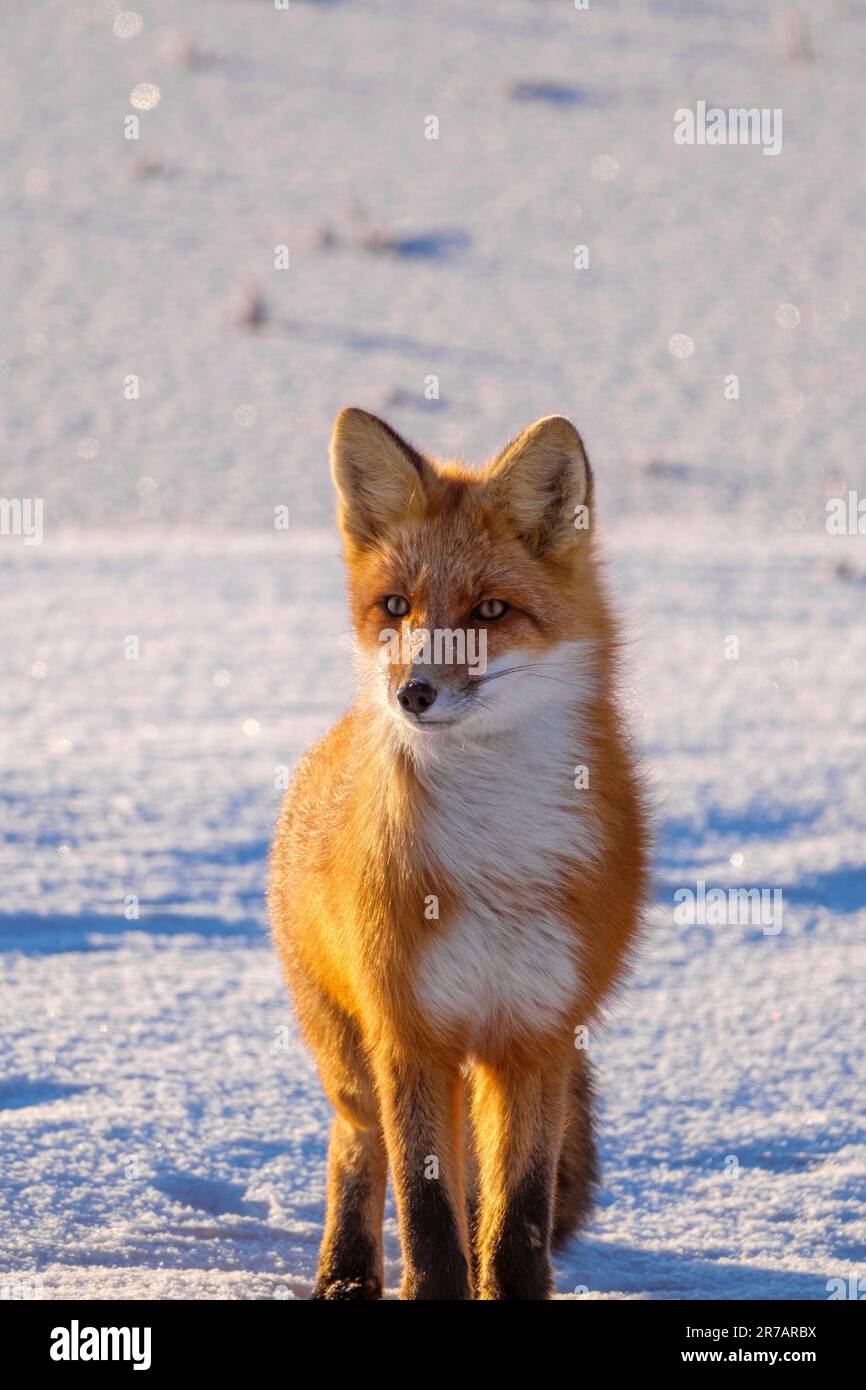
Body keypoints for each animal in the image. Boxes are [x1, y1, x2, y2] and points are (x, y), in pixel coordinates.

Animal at [269, 408, 648, 1300]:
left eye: (490, 610)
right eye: (396, 606)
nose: (412, 692)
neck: (492, 857)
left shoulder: (537, 1035)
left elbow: (516, 1221)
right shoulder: (409, 1033)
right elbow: (428, 1211)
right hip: (350, 1054)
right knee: (355, 1146)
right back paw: (345, 1273)